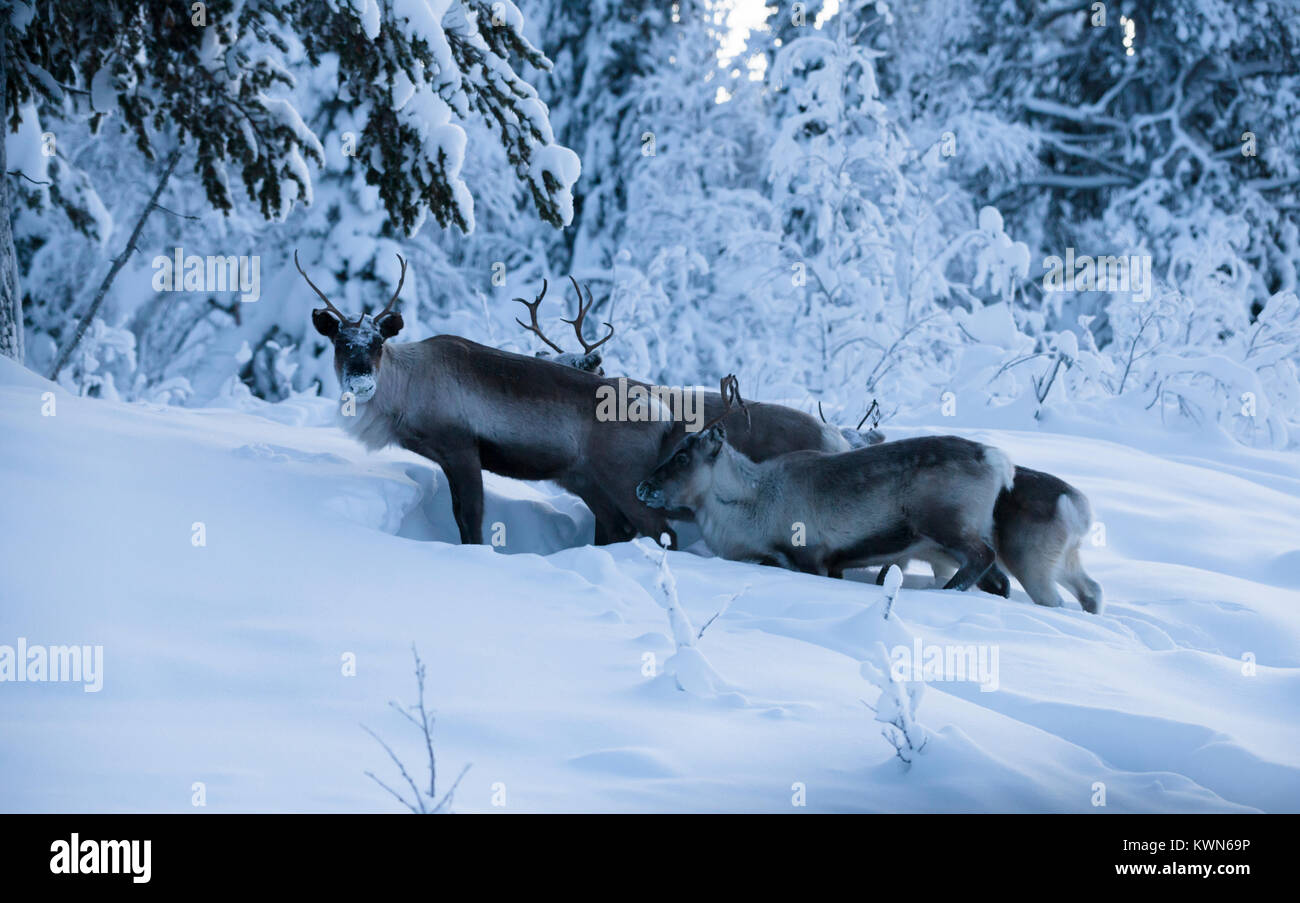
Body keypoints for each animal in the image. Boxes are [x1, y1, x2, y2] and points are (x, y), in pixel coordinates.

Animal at [301, 254, 847, 548]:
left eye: (376, 342)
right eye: (341, 343)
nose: (359, 381)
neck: (407, 390)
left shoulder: (461, 448)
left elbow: (469, 517)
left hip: (628, 481)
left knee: (662, 532)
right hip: (591, 481)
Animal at [635, 376, 1016, 591]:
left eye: (682, 456)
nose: (642, 487)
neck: (752, 505)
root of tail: (999, 462)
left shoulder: (810, 556)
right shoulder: (829, 565)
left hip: (949, 525)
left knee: (983, 558)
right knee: (998, 578)